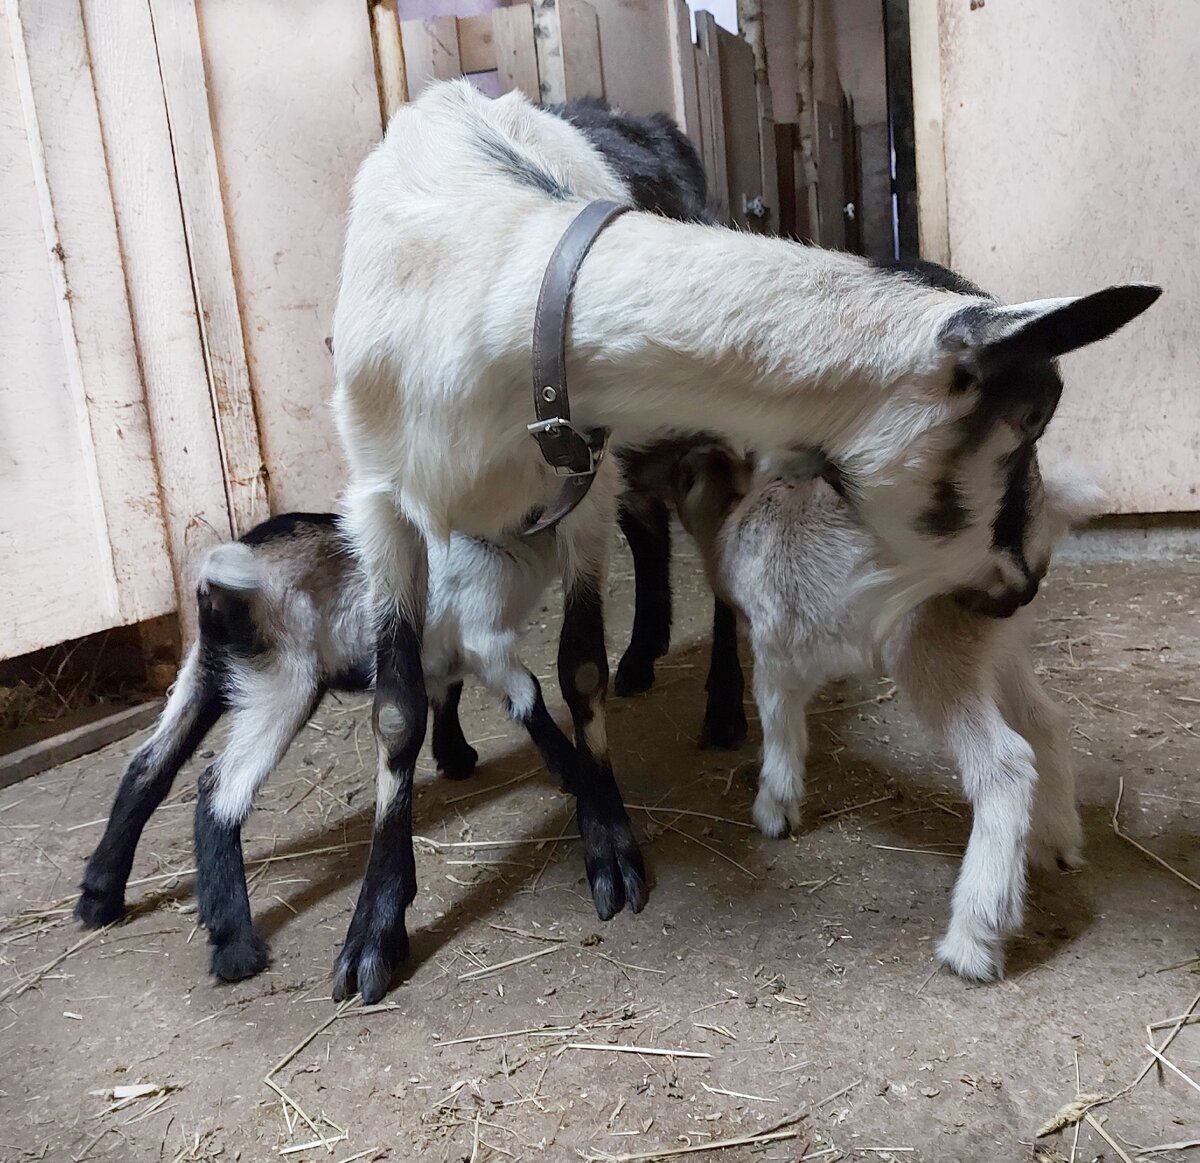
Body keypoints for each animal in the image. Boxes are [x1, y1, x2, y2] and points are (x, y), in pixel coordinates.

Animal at [333, 79, 1156, 998]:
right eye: (1030, 421)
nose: (1024, 584)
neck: (499, 266)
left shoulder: (584, 488)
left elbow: (578, 668)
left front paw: (613, 848)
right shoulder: (379, 500)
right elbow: (397, 706)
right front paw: (374, 925)